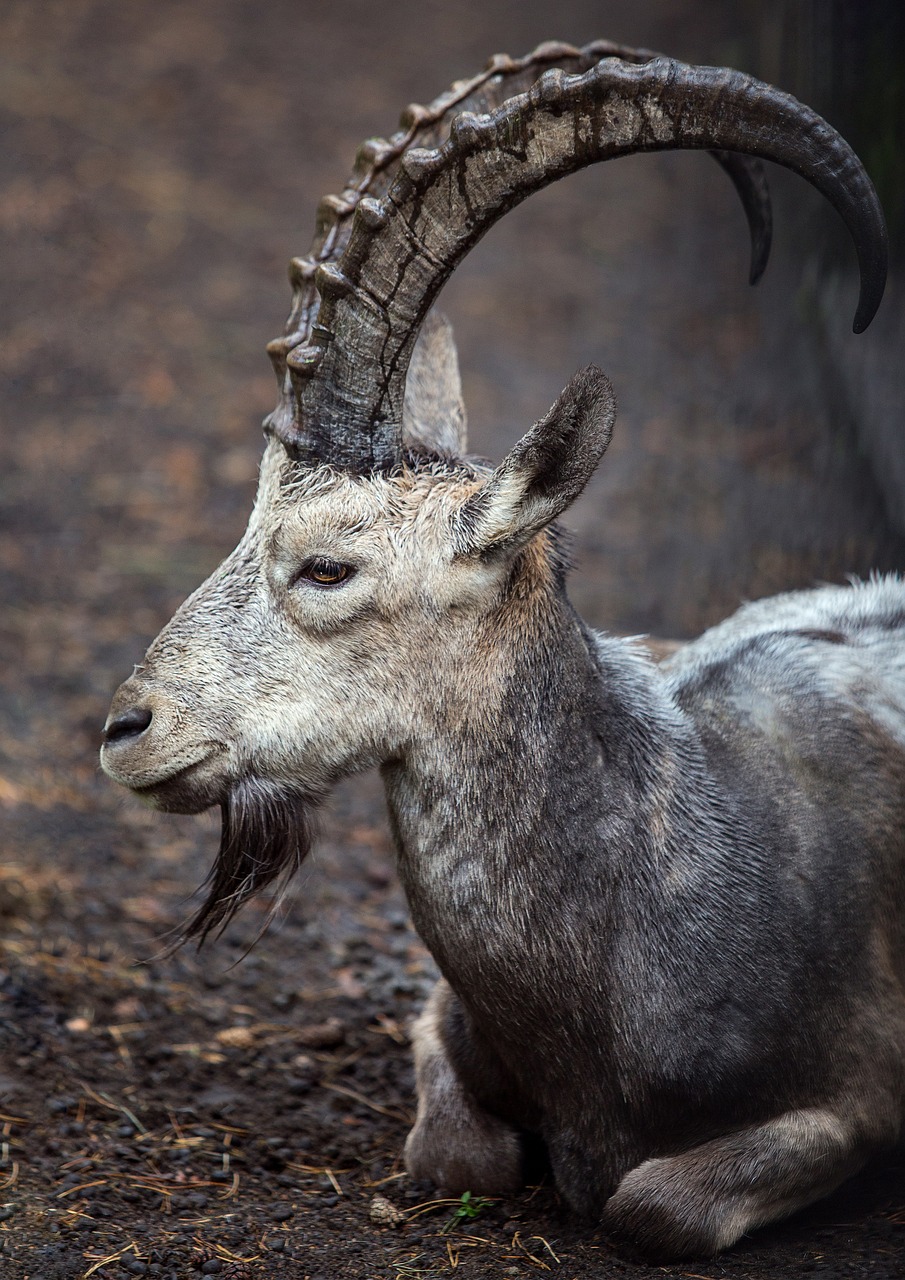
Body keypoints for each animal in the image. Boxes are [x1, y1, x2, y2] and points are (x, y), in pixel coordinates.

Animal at [100, 41, 904, 1260]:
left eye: (326, 566)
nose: (127, 729)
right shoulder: (447, 1019)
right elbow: (451, 1154)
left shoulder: (858, 1097)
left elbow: (653, 1205)